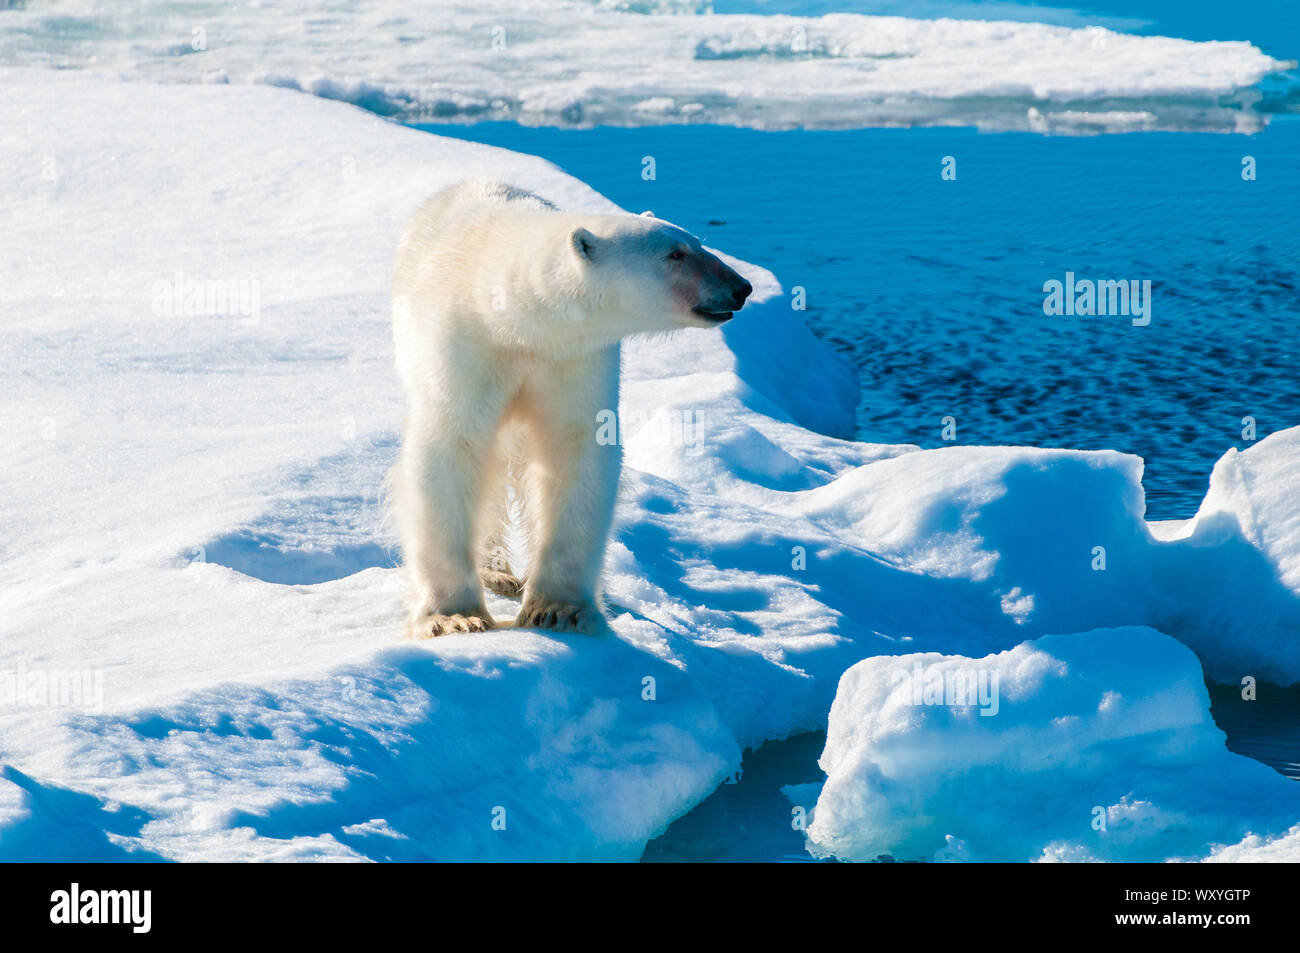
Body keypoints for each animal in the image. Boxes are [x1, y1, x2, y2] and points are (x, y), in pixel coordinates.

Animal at [387, 179, 752, 638]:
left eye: (697, 243)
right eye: (675, 254)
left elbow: (573, 449)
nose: (742, 286)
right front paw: (454, 616)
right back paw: (495, 572)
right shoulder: (464, 344)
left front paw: (558, 609)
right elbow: (452, 446)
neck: (508, 314)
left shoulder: (573, 358)